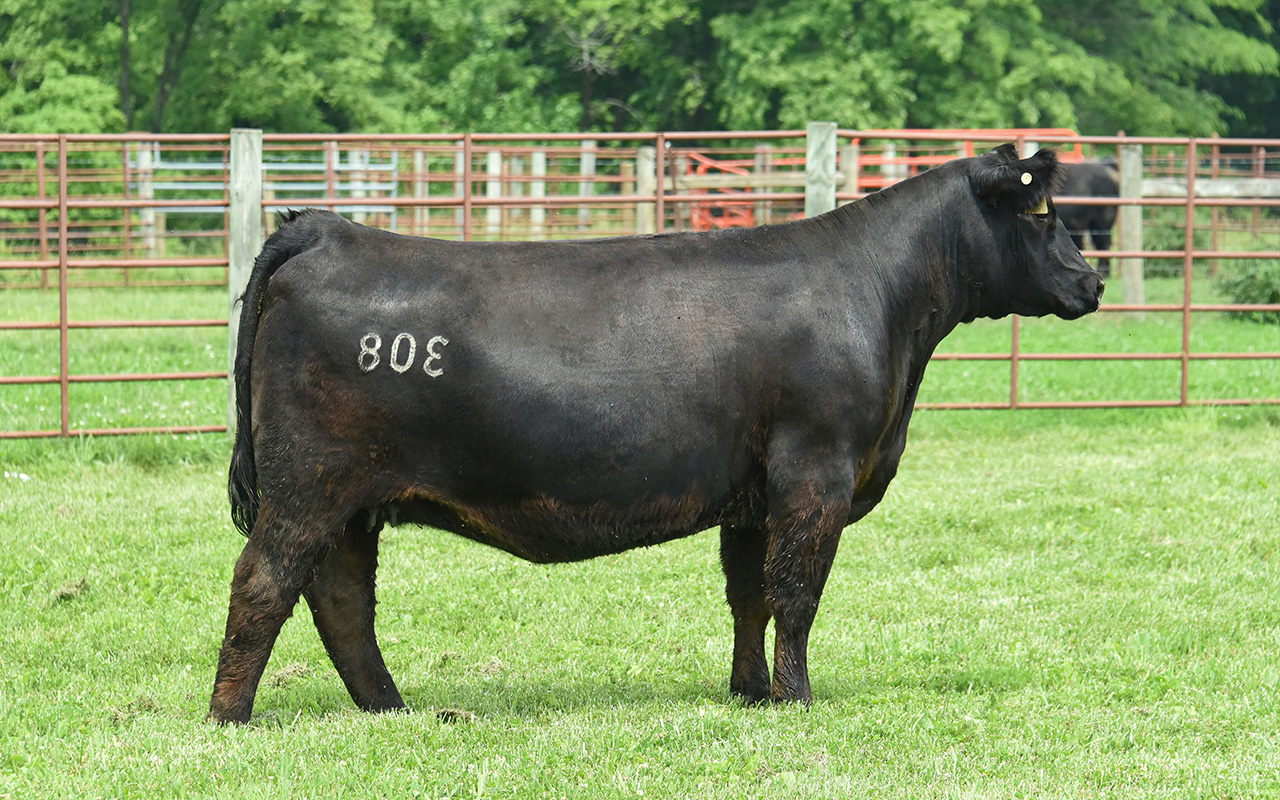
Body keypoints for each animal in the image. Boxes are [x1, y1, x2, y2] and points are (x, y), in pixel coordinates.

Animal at [208, 144, 1103, 724]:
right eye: (1044, 211)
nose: (1093, 281)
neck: (882, 300)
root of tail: (329, 228)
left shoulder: (755, 492)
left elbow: (750, 593)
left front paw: (750, 692)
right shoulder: (816, 470)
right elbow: (796, 592)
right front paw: (798, 700)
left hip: (353, 501)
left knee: (340, 599)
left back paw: (391, 708)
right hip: (309, 485)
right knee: (265, 583)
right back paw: (230, 716)